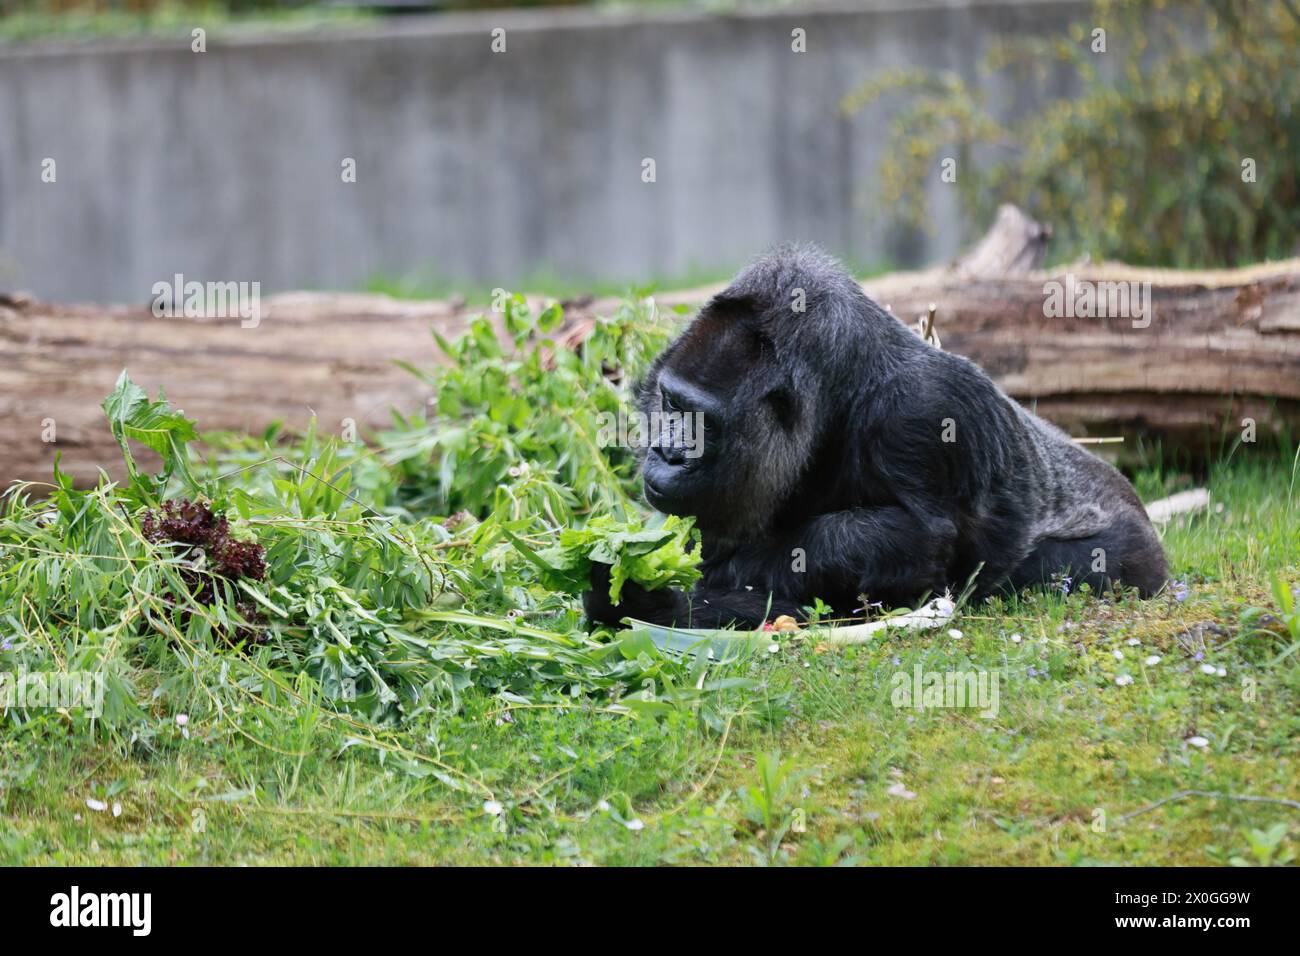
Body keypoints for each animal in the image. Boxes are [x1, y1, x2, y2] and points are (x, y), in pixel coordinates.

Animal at [583, 245, 1169, 630]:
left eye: (702, 421)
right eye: (670, 402)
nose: (667, 452)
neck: (844, 388)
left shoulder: (925, 411)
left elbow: (913, 540)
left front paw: (664, 598)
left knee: (1075, 567)